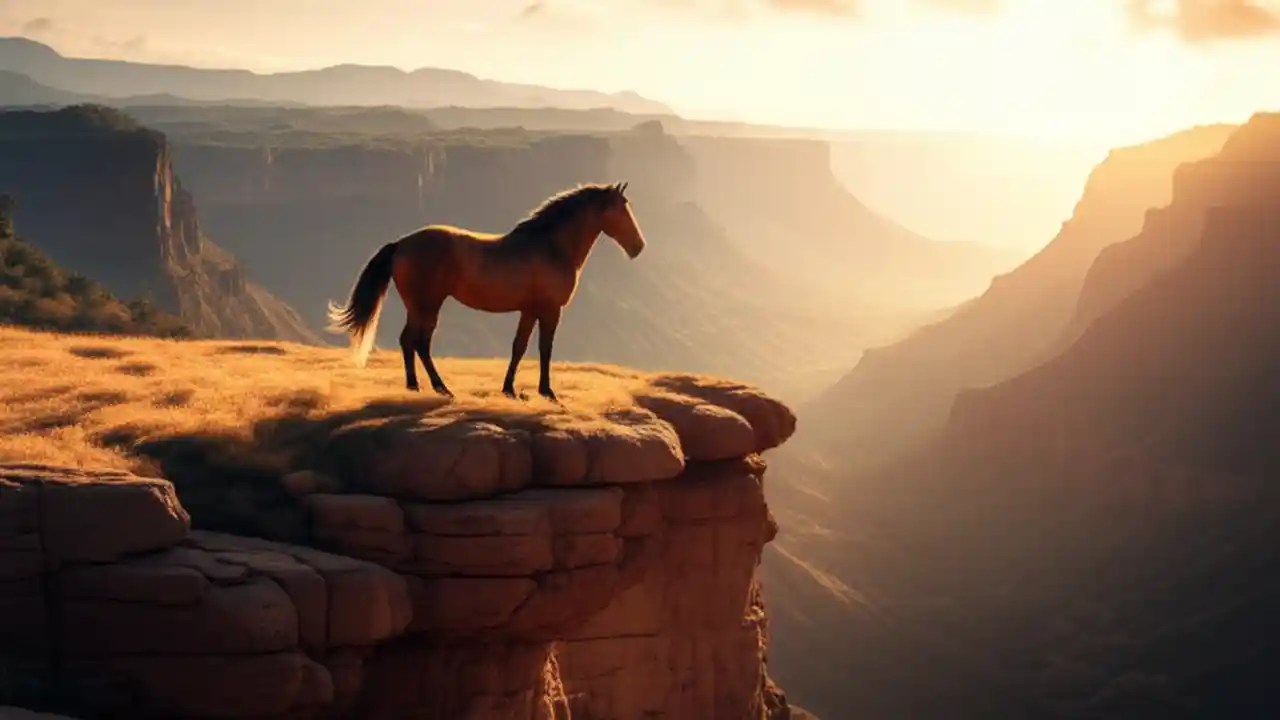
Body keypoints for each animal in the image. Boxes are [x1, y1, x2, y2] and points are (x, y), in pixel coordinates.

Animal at [327, 182, 646, 401]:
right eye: (621, 210)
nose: (638, 246)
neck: (550, 246)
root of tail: (401, 244)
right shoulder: (550, 310)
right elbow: (545, 349)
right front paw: (547, 392)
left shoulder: (529, 311)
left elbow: (519, 347)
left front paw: (510, 390)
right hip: (427, 306)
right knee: (417, 342)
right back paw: (438, 388)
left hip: (420, 307)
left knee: (411, 342)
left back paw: (416, 387)